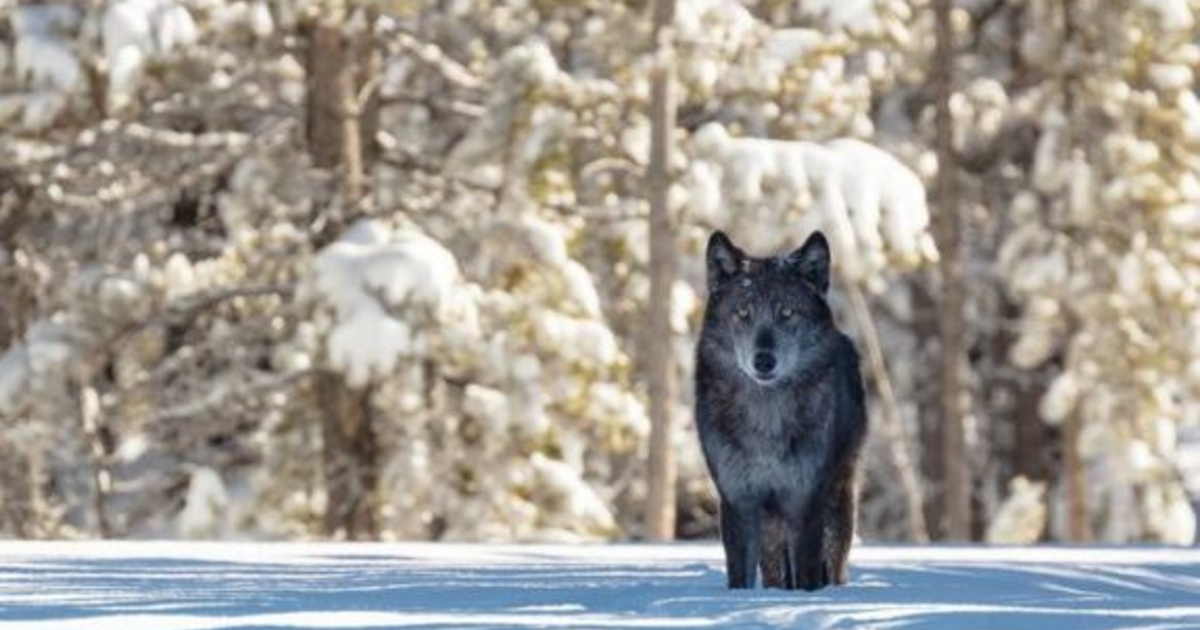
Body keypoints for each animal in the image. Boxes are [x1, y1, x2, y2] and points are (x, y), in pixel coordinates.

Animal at [695, 230, 867, 591]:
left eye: (787, 312)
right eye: (742, 313)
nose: (764, 360)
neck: (766, 415)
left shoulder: (805, 501)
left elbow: (807, 574)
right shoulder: (739, 502)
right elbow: (740, 577)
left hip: (838, 501)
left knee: (835, 562)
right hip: (771, 526)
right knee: (775, 570)